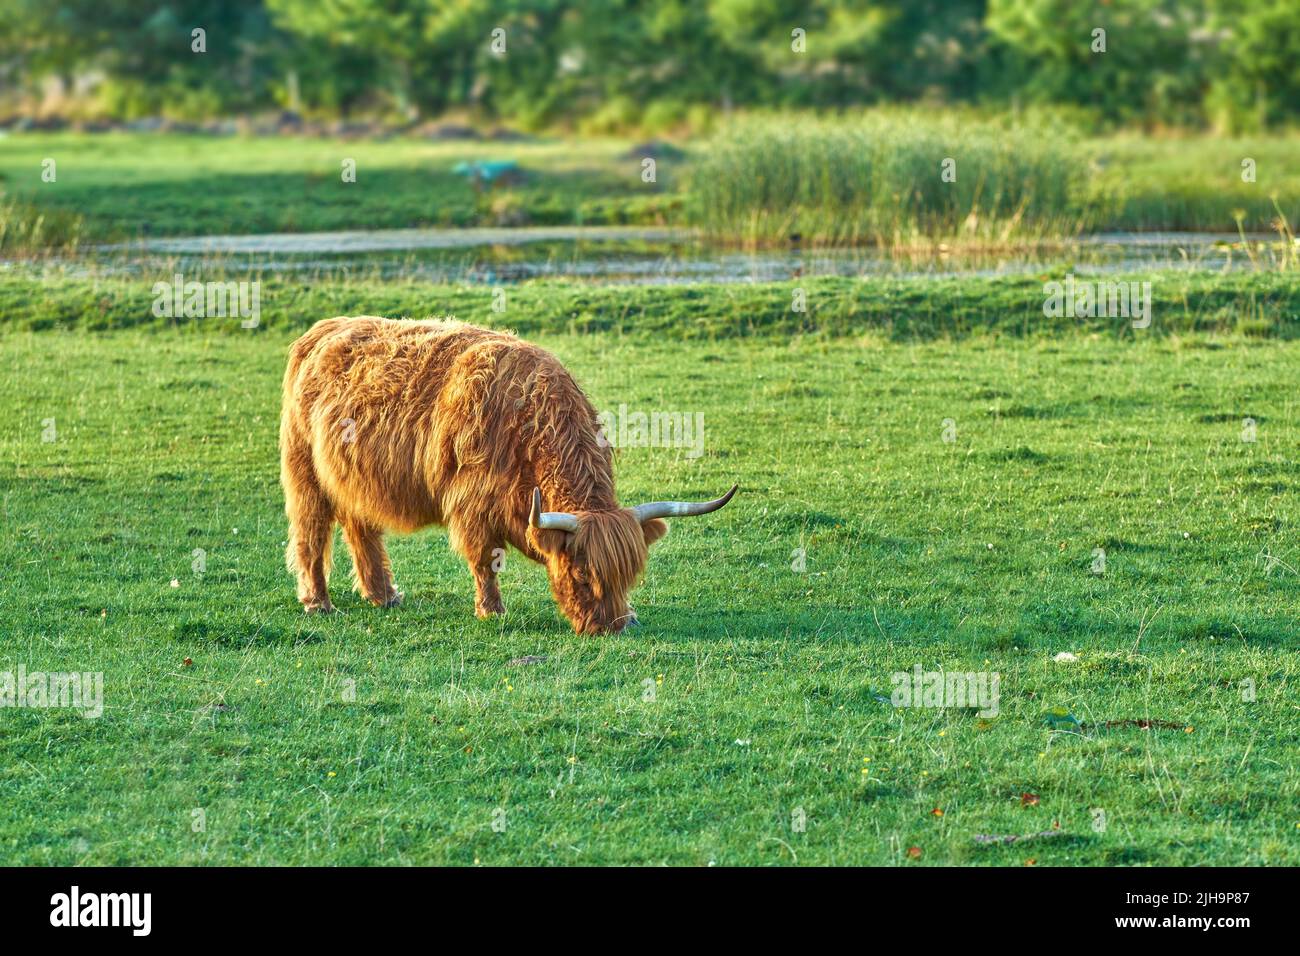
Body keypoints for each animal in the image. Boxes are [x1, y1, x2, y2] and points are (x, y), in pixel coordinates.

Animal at [279, 317, 736, 634]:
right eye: (581, 574)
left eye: (628, 576)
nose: (610, 627)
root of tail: (323, 329)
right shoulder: (472, 504)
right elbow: (484, 559)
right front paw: (492, 611)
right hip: (304, 473)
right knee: (310, 534)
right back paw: (318, 602)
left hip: (353, 480)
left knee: (361, 530)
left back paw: (384, 596)